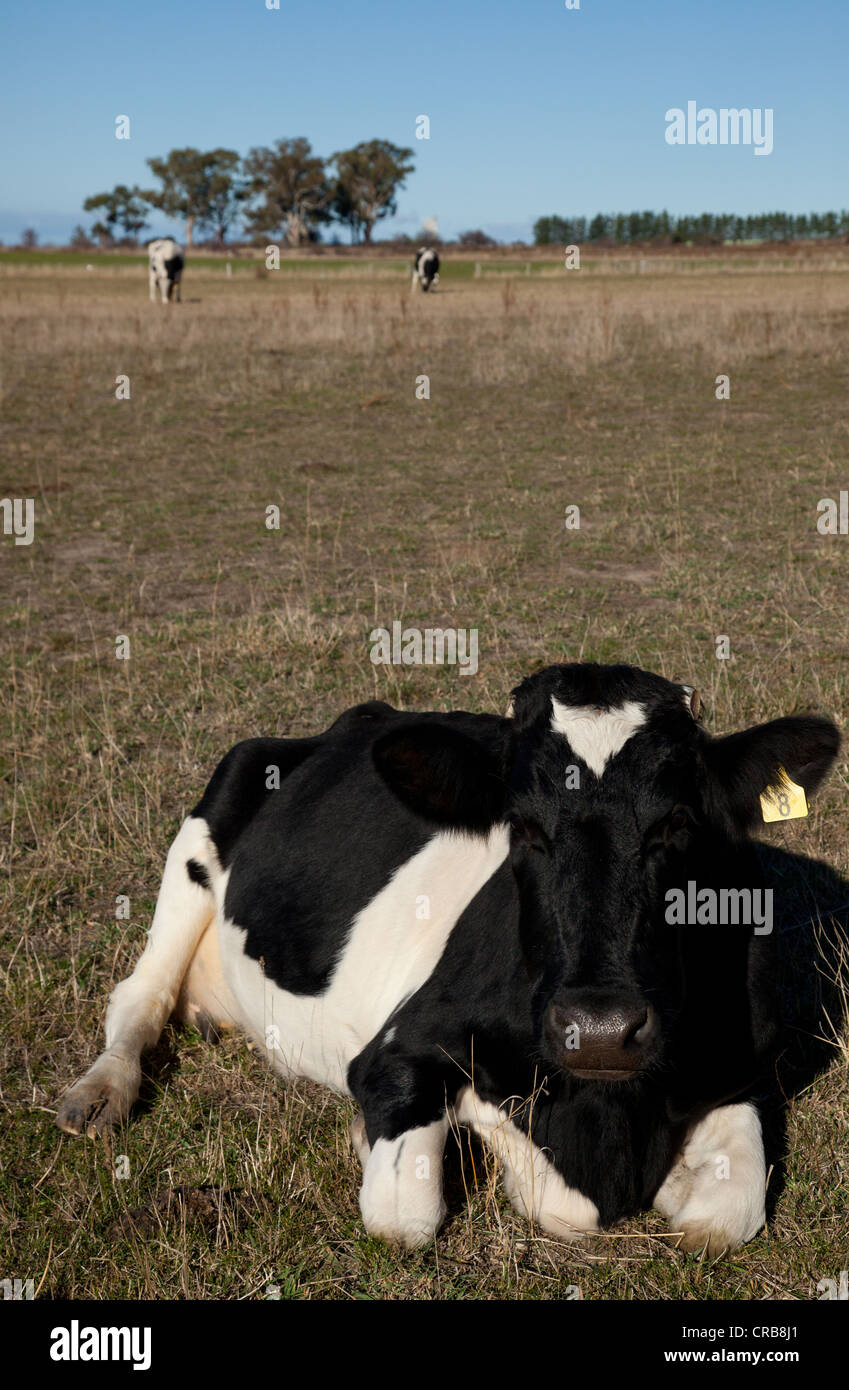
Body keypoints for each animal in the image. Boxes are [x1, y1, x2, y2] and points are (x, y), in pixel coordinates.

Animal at [56, 663, 839, 1254]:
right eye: (520, 824)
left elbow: (726, 1215)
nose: (599, 1030)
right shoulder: (396, 1050)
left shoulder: (742, 1069)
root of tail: (361, 716)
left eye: (678, 821)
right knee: (138, 994)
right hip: (200, 836)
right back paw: (97, 1095)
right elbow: (406, 1216)